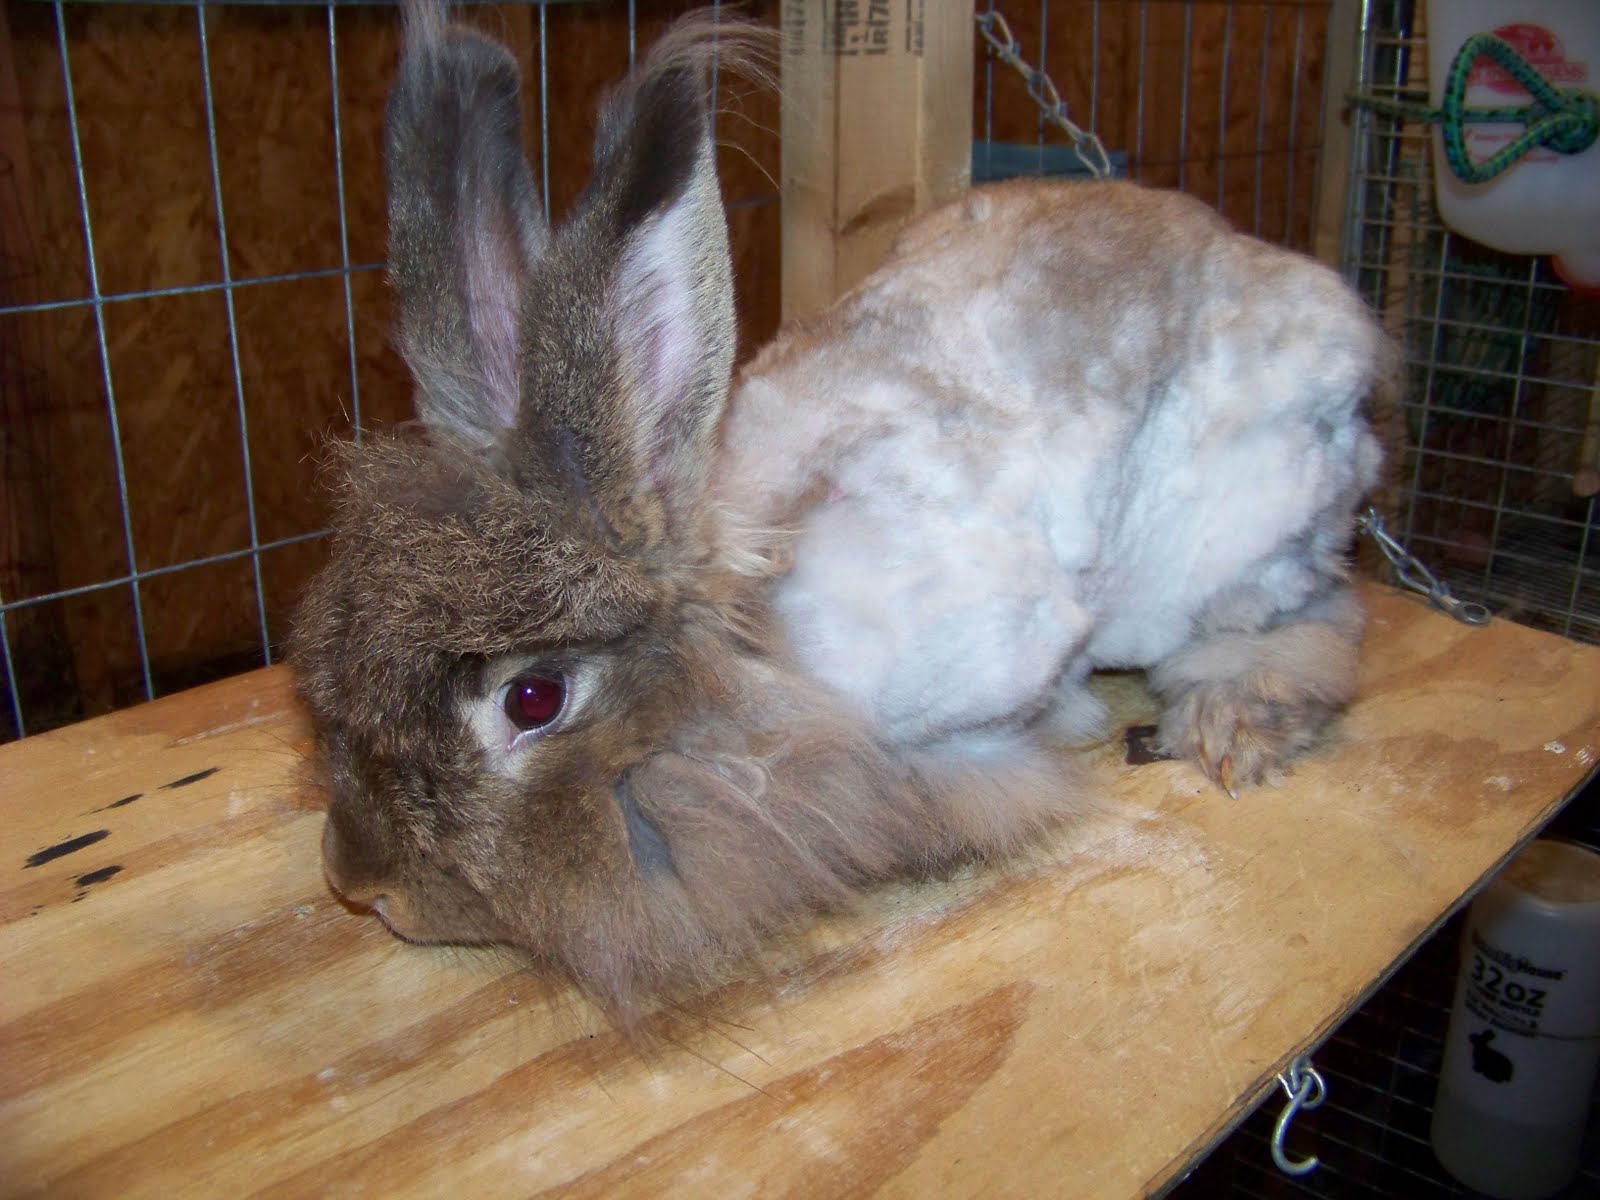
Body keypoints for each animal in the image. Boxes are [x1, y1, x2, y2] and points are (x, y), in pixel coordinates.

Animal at [290, 2, 1387, 1032]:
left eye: (531, 700)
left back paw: (1229, 727)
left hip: (1233, 556)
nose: (361, 884)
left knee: (1322, 625)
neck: (758, 655)